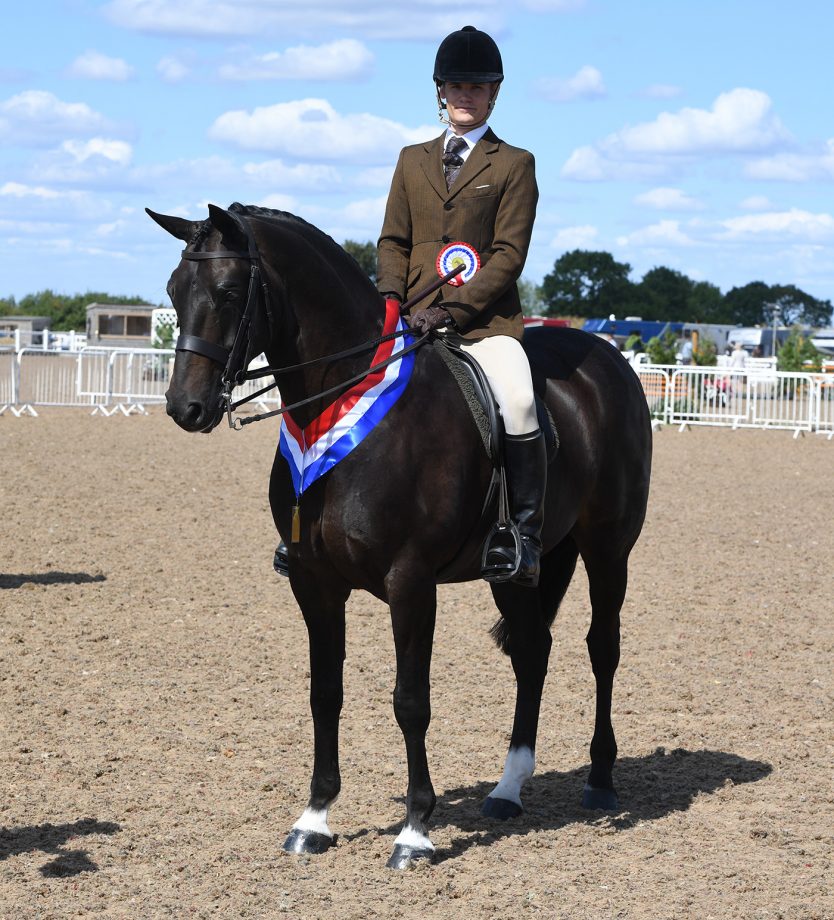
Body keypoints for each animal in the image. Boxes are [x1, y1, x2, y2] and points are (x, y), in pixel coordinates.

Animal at [147, 201, 652, 869]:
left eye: (230, 291)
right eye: (174, 291)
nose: (187, 408)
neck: (340, 402)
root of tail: (606, 357)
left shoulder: (410, 582)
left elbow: (410, 700)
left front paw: (415, 831)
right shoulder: (313, 582)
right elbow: (325, 693)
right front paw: (314, 819)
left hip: (609, 549)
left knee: (602, 648)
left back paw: (599, 780)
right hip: (515, 569)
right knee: (532, 650)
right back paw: (509, 789)